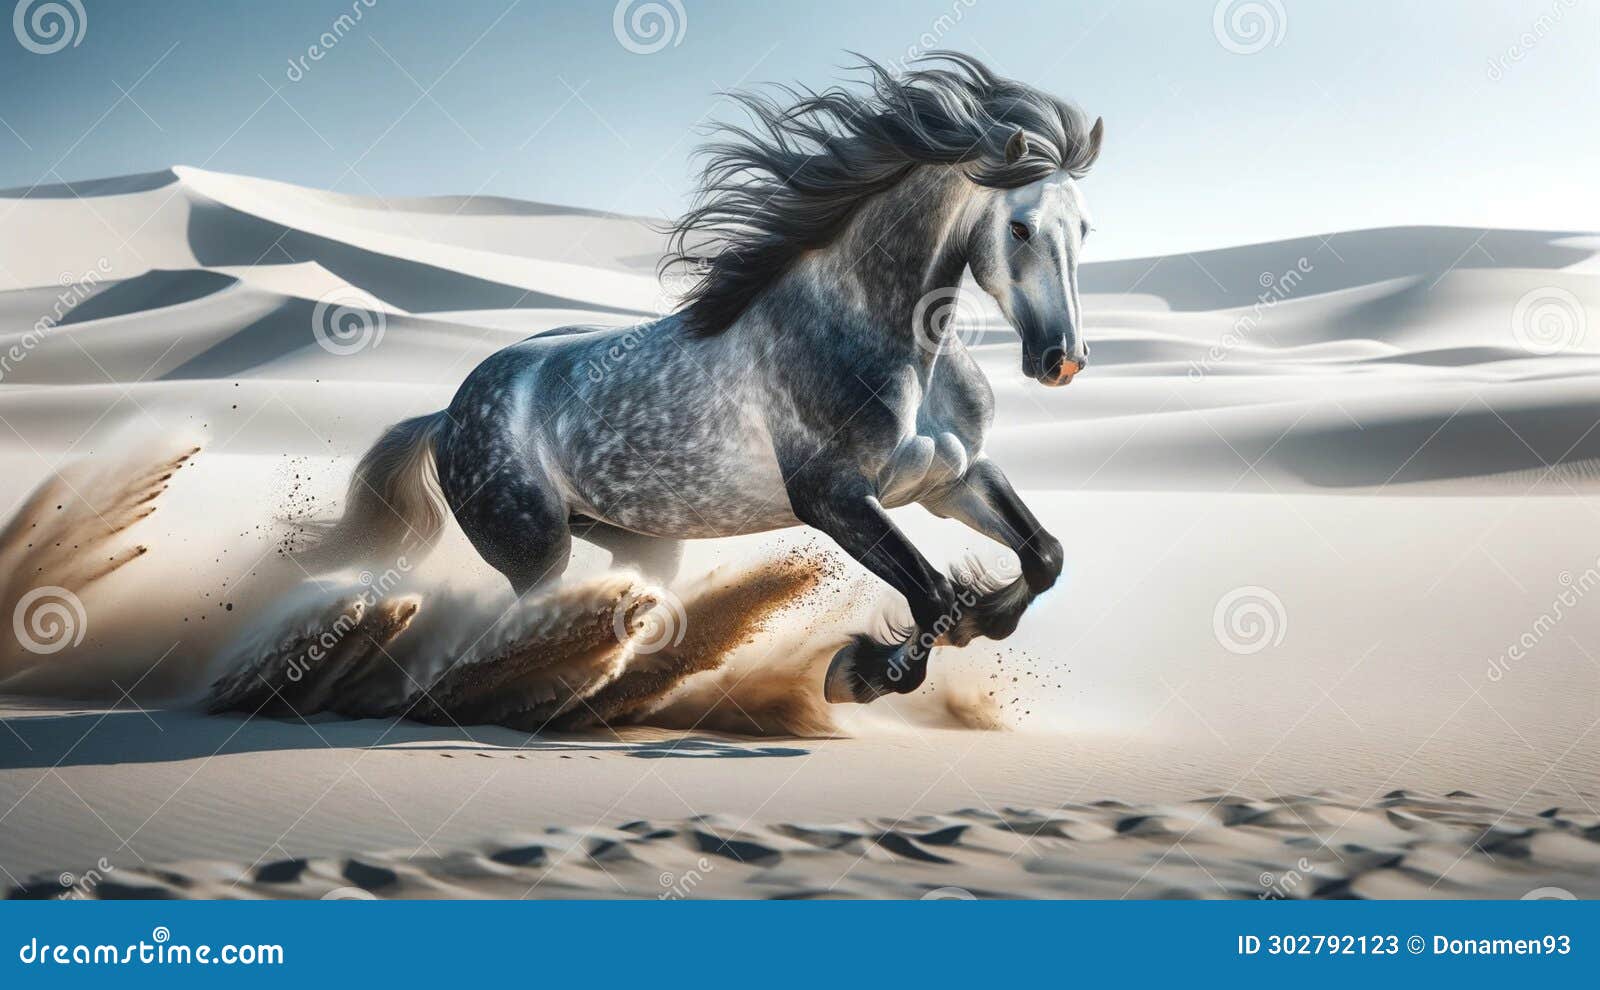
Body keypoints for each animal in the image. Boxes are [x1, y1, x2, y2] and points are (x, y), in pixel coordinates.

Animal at [312, 52, 1104, 705]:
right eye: (1021, 228)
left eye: (1084, 228)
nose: (1061, 360)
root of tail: (446, 414)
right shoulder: (836, 500)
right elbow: (933, 595)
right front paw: (859, 675)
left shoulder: (954, 480)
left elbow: (1044, 556)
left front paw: (978, 618)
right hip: (535, 551)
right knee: (515, 625)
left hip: (638, 542)